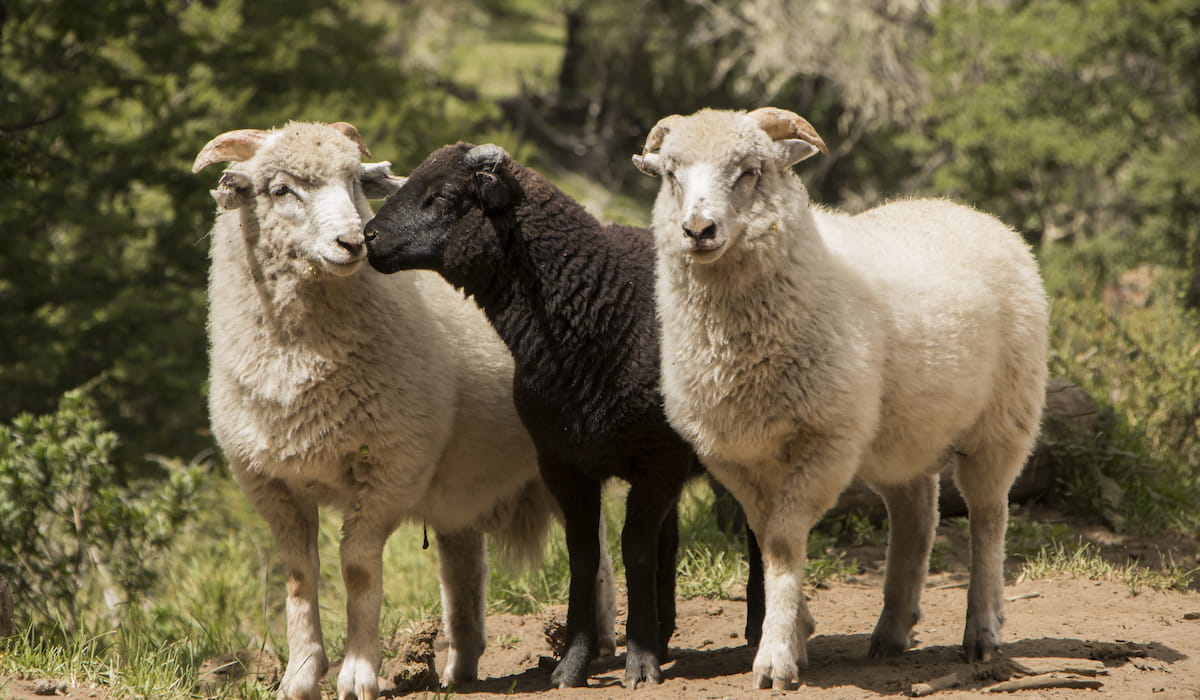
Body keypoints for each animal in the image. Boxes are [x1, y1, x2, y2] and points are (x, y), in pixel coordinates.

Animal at [192, 122, 616, 700]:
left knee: (593, 548)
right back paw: (461, 666)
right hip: (464, 478)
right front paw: (300, 676)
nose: (352, 242)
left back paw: (601, 642)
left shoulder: (390, 468)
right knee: (463, 566)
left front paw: (357, 674)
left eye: (354, 180)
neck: (300, 365)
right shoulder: (270, 482)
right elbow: (300, 576)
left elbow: (358, 569)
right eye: (280, 189)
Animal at [362, 142, 765, 689]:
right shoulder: (563, 462)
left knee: (755, 529)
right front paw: (574, 663)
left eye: (443, 195)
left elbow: (634, 549)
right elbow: (584, 553)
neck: (595, 310)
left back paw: (757, 628)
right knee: (670, 538)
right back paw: (665, 634)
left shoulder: (656, 459)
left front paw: (639, 663)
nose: (368, 237)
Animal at [633, 107, 1049, 690]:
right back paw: (892, 631)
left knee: (988, 517)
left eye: (751, 171)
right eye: (671, 173)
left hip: (1002, 420)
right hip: (899, 434)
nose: (697, 230)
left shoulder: (825, 440)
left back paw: (982, 632)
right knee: (915, 514)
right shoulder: (734, 455)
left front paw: (776, 656)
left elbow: (783, 541)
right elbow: (765, 537)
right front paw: (797, 630)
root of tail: (969, 211)